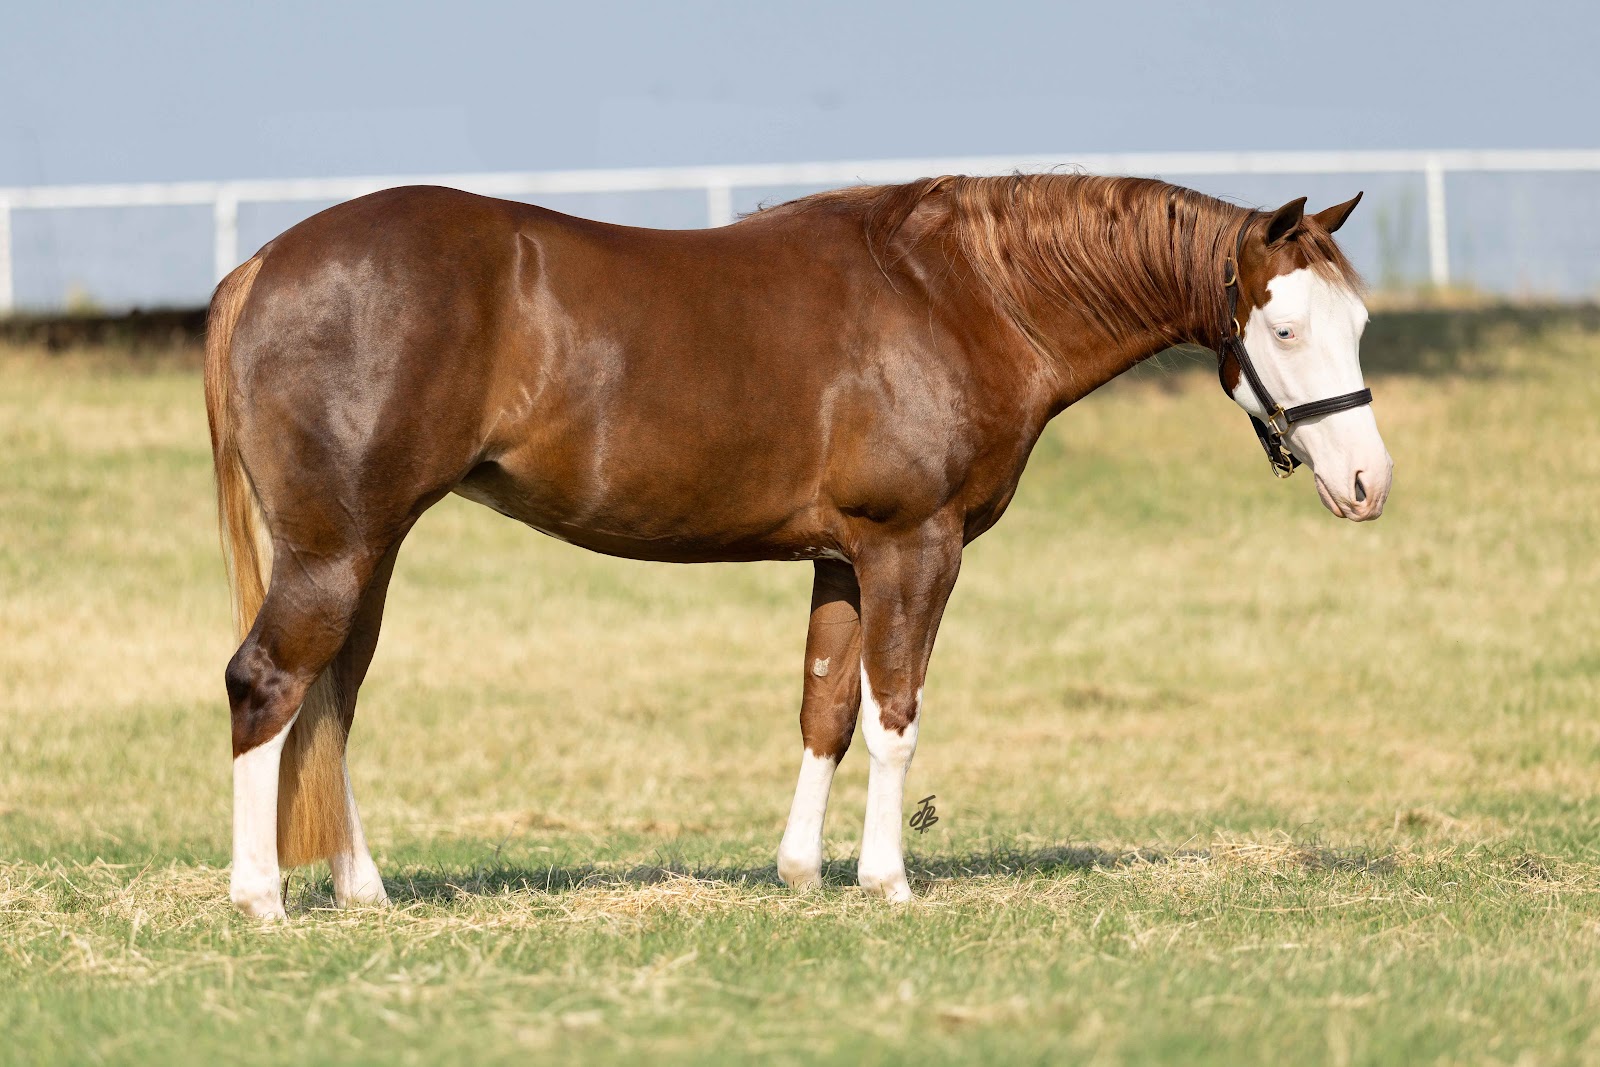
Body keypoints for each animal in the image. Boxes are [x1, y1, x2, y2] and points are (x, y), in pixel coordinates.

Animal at [204, 172, 1392, 918]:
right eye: (1284, 328)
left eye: (1360, 324)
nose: (1368, 485)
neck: (963, 295)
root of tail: (261, 264)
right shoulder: (914, 548)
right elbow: (895, 713)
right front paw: (886, 881)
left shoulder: (842, 560)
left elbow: (825, 710)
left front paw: (799, 871)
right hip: (337, 548)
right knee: (267, 682)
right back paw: (260, 897)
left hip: (367, 551)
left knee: (331, 700)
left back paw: (361, 889)